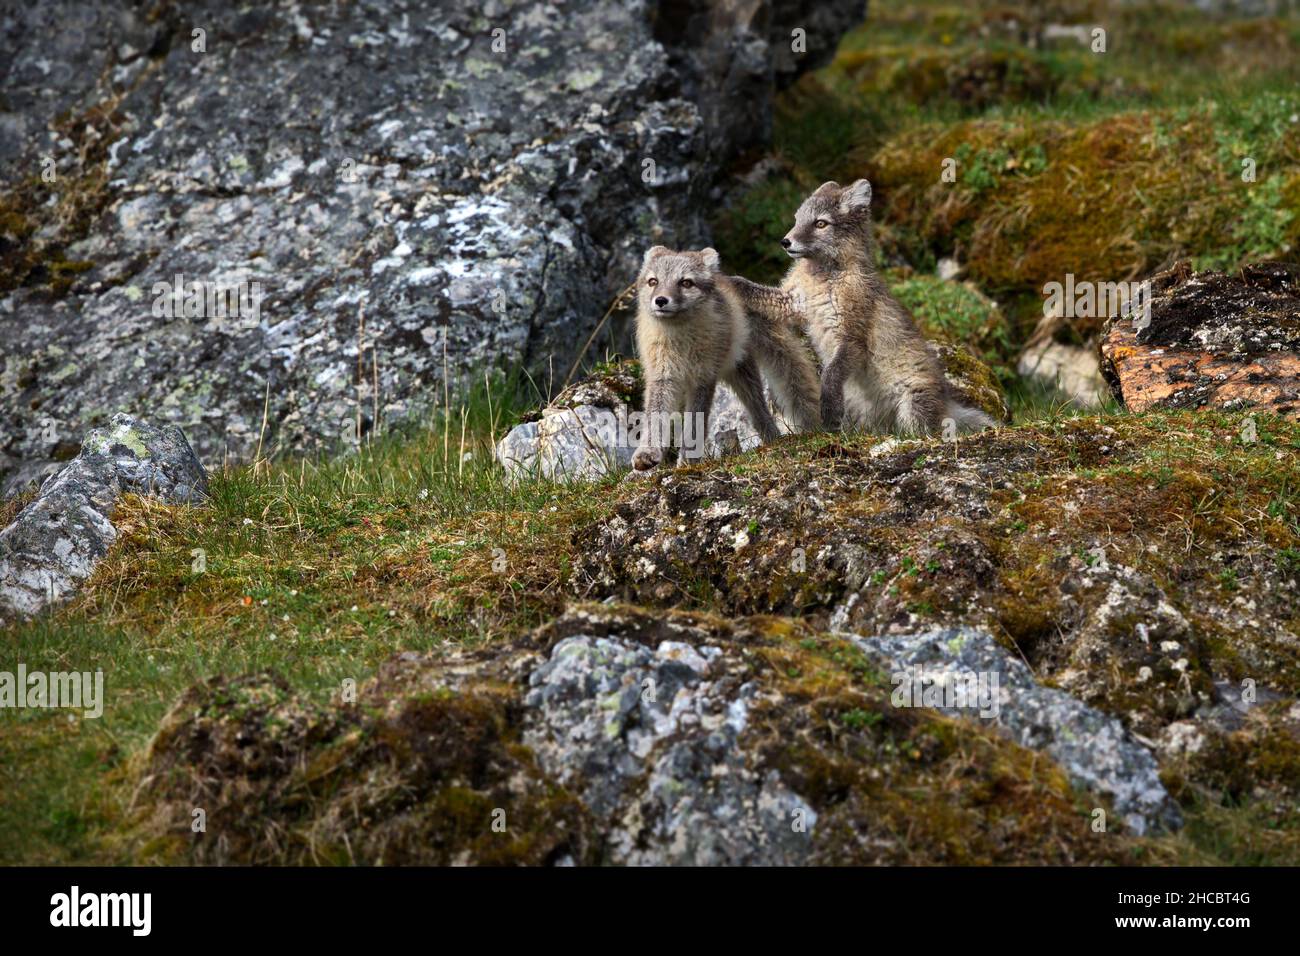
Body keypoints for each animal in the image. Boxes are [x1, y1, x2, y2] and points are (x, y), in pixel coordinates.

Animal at [631, 246, 821, 471]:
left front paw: (688, 462)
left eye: (686, 283)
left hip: (745, 374)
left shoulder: (703, 379)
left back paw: (773, 439)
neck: (679, 341)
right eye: (653, 281)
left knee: (760, 412)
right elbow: (654, 417)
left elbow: (695, 425)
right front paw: (647, 453)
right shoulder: (662, 377)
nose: (660, 300)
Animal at [731, 179, 994, 436]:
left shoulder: (850, 335)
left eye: (820, 223)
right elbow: (750, 287)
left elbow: (830, 374)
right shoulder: (792, 301)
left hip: (914, 407)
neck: (822, 277)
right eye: (797, 219)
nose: (785, 241)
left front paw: (829, 411)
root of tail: (948, 403)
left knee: (922, 433)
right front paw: (729, 282)